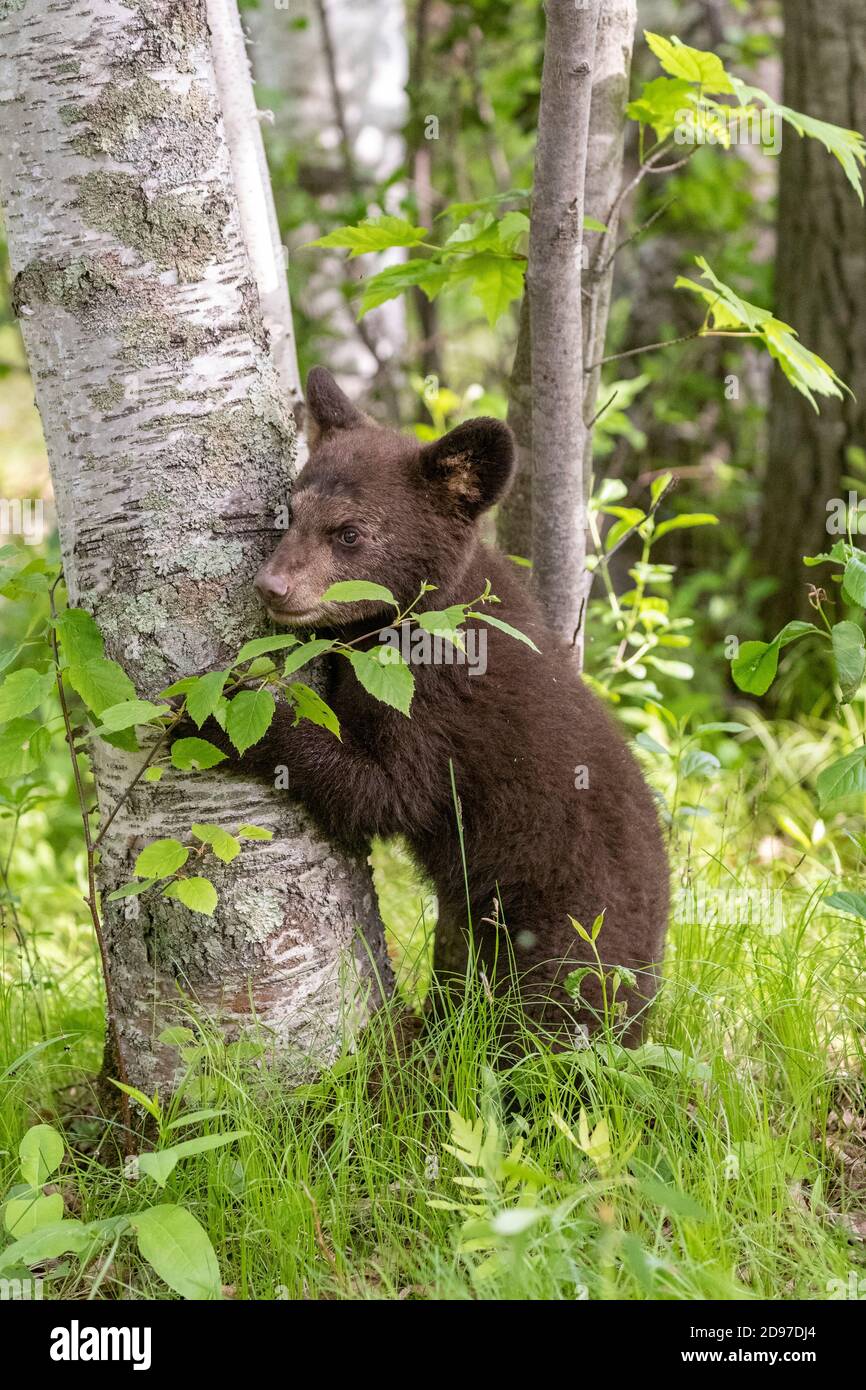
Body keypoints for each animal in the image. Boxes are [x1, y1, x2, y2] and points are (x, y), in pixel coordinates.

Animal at [196, 366, 669, 1047]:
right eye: (292, 514)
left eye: (349, 533)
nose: (272, 586)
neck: (418, 616)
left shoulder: (441, 703)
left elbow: (386, 790)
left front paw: (221, 707)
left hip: (567, 929)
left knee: (552, 1014)